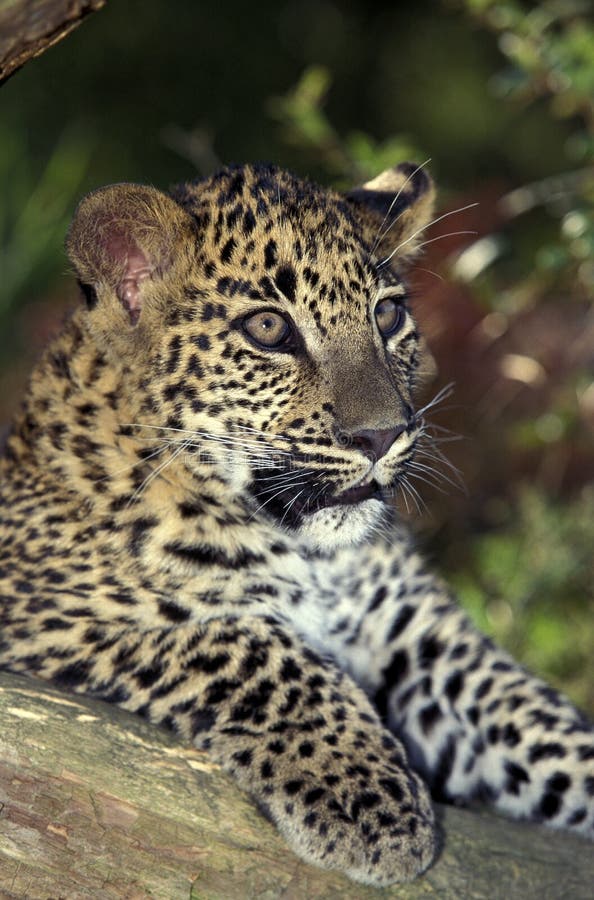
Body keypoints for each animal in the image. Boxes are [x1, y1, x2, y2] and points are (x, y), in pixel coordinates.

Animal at [0, 161, 592, 887]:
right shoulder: (49, 612)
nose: (382, 435)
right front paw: (366, 800)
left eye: (388, 315)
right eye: (268, 329)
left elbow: (527, 711)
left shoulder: (420, 634)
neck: (313, 557)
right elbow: (248, 645)